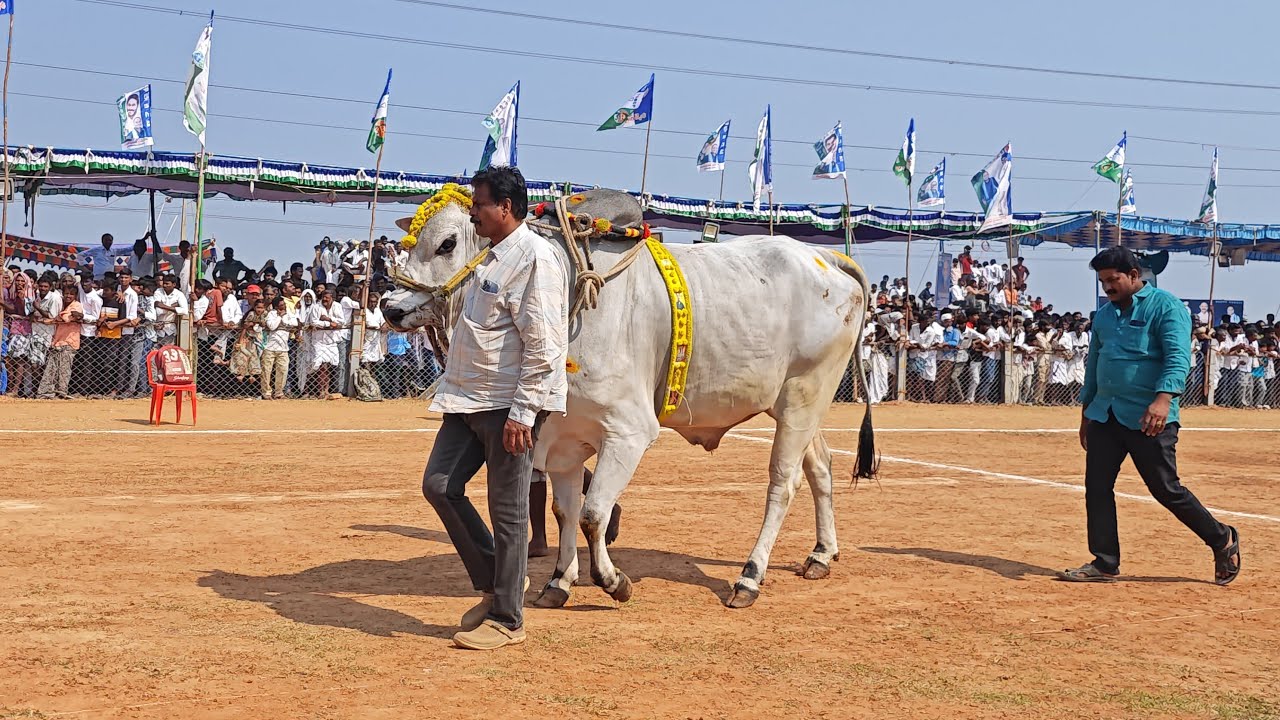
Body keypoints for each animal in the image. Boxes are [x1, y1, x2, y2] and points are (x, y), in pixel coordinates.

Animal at [383, 187, 876, 609]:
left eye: (447, 243)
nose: (391, 307)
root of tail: (826, 256)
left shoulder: (630, 431)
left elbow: (594, 513)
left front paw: (612, 580)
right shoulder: (561, 437)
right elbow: (566, 510)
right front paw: (559, 581)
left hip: (803, 396)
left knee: (782, 482)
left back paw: (749, 578)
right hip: (799, 403)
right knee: (820, 466)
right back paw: (820, 554)